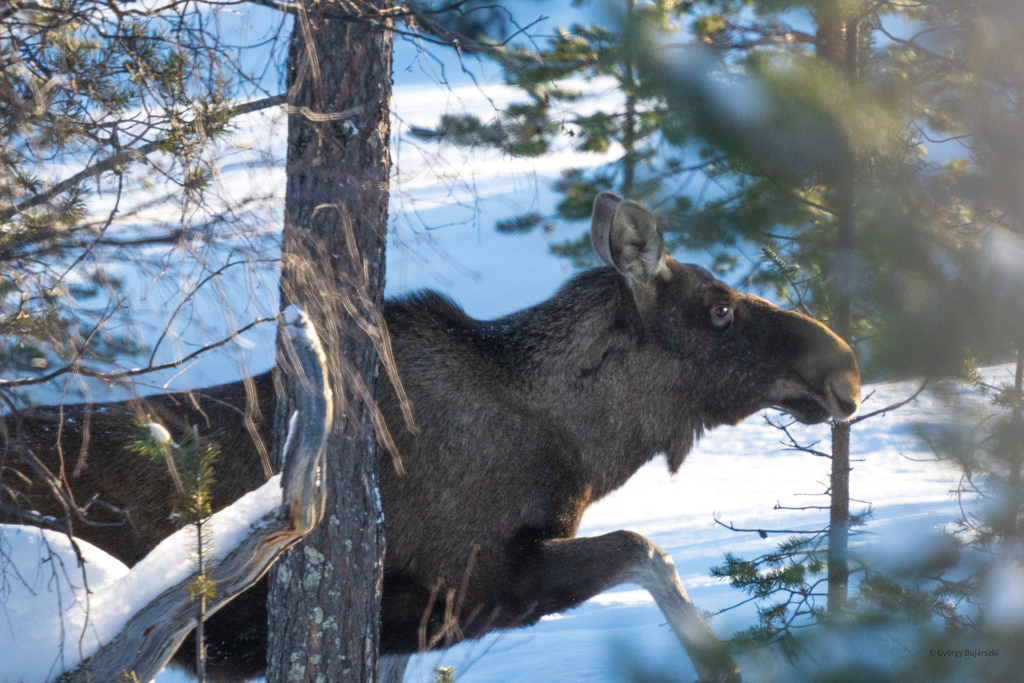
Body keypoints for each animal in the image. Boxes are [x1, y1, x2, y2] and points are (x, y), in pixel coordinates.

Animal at [4, 193, 860, 683]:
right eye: (719, 308)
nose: (845, 366)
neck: (586, 447)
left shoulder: (409, 619)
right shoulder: (478, 579)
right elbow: (648, 550)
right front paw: (719, 665)